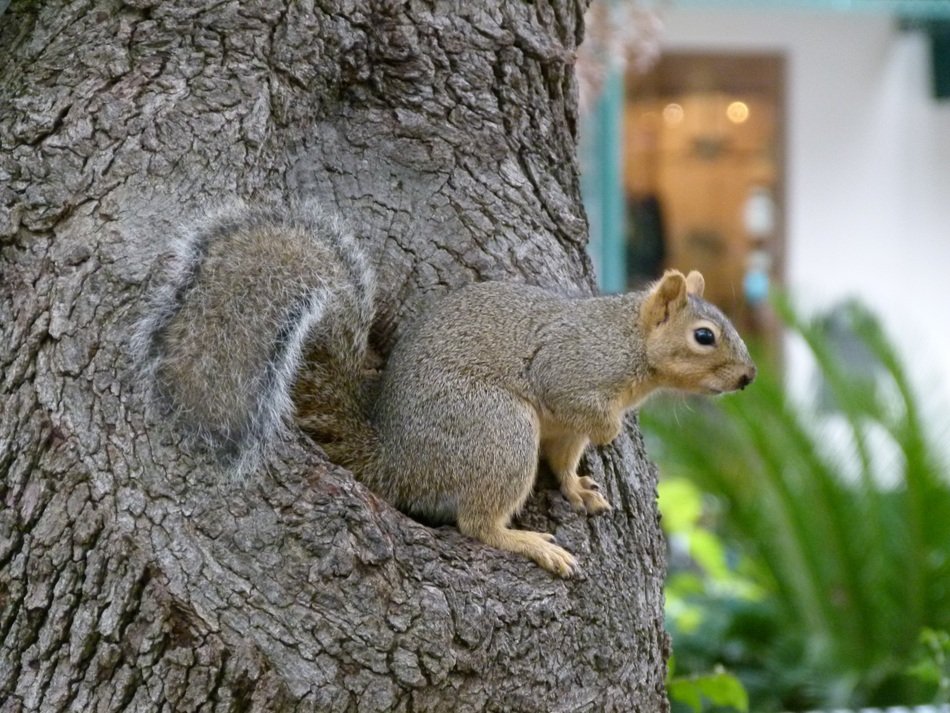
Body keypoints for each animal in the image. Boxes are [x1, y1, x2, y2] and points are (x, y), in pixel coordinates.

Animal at [138, 201, 756, 577]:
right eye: (704, 336)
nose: (749, 379)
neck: (629, 344)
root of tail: (396, 461)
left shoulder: (564, 431)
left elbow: (563, 460)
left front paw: (579, 488)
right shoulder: (570, 372)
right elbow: (579, 407)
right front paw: (610, 432)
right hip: (498, 430)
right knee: (477, 525)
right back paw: (529, 543)